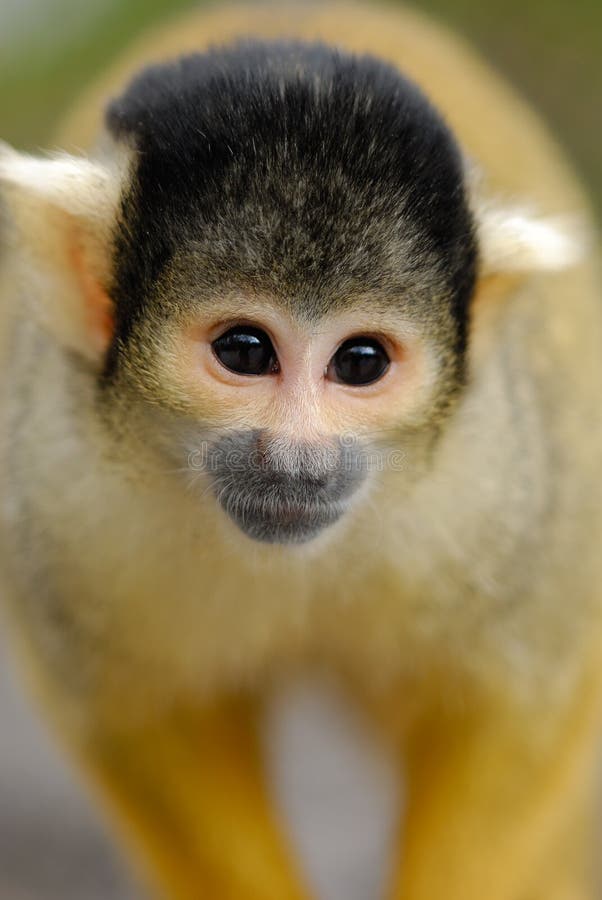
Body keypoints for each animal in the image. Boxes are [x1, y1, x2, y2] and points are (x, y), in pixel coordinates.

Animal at [0, 2, 601, 899]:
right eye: (245, 351)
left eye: (360, 363)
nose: (299, 460)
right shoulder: (57, 484)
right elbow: (143, 724)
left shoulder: (509, 479)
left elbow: (527, 703)